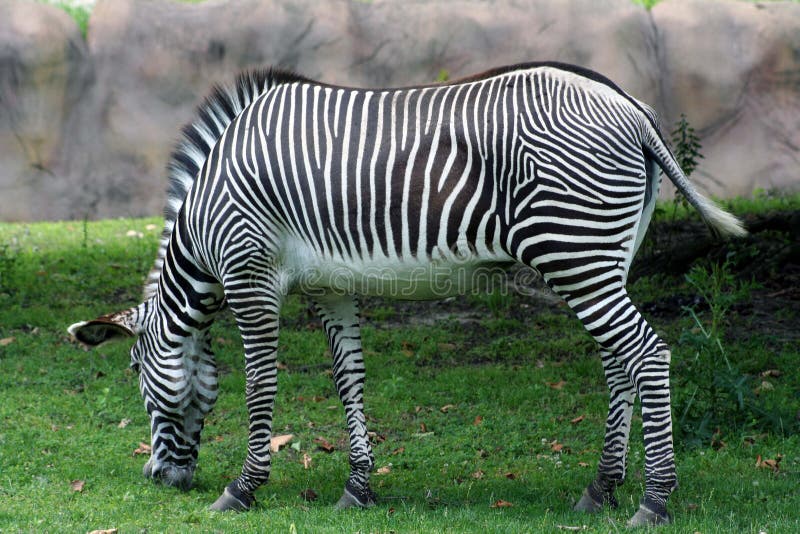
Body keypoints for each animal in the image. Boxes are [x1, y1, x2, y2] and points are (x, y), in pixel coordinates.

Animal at [69, 62, 746, 527]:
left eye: (135, 372)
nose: (160, 478)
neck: (205, 218)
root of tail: (633, 108)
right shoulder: (331, 286)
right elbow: (350, 380)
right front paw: (358, 487)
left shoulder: (250, 274)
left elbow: (261, 383)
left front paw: (242, 488)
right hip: (605, 256)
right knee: (617, 361)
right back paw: (601, 489)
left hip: (572, 250)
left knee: (647, 354)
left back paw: (653, 502)